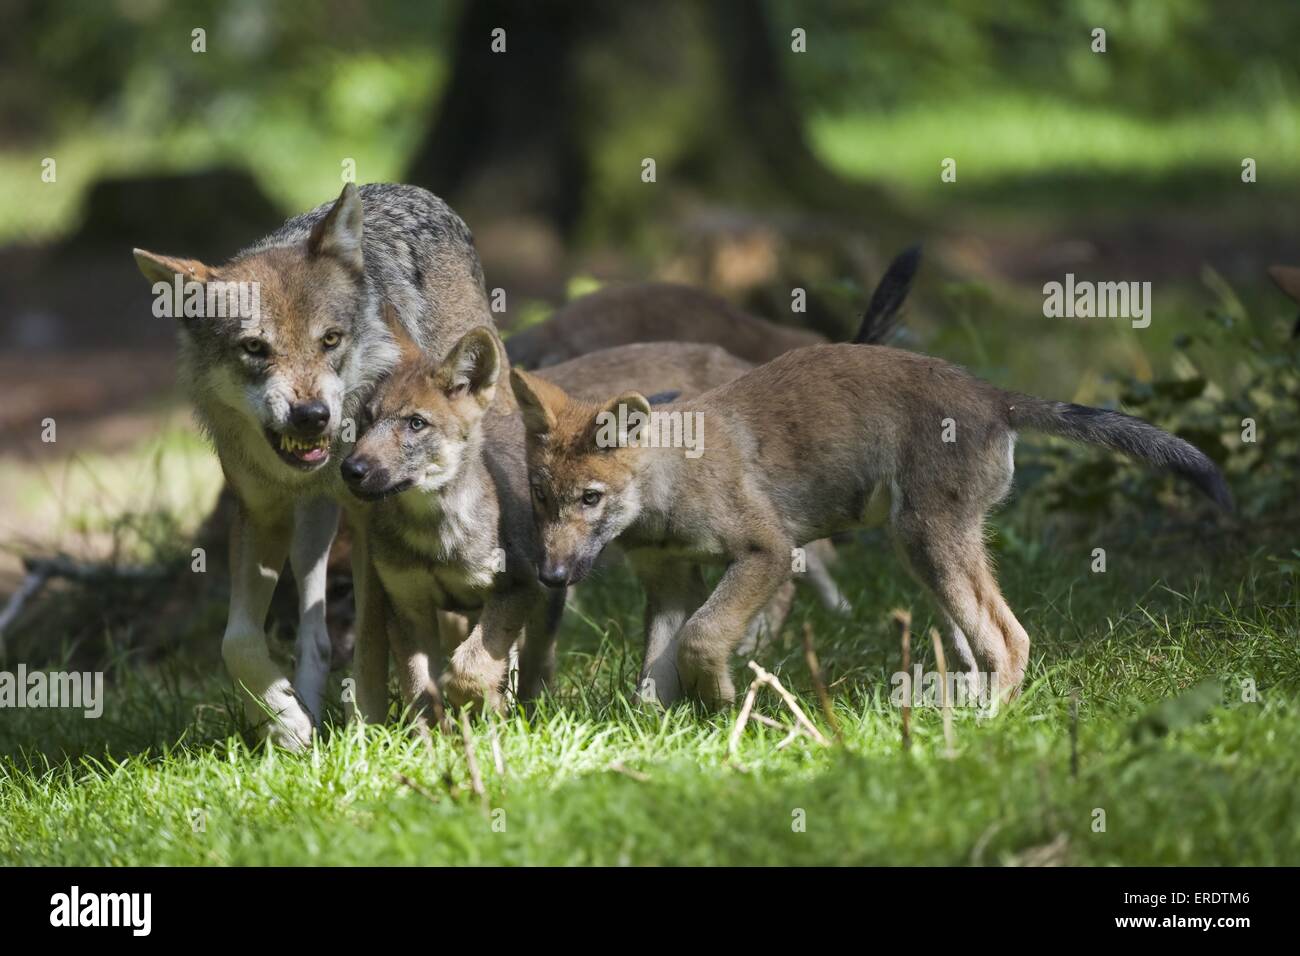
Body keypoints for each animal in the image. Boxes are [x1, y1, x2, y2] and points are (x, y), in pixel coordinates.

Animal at [133, 183, 492, 747]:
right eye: (254, 348)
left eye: (330, 340)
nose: (311, 416)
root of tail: (412, 191)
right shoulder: (260, 515)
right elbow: (237, 641)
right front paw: (283, 721)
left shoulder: (370, 524)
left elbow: (368, 644)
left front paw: (366, 733)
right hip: (310, 531)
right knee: (315, 635)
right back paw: (310, 712)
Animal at [510, 344, 1232, 708]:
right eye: (541, 499)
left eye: (590, 499)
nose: (550, 576)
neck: (665, 488)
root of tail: (997, 397)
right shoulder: (669, 585)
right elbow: (653, 677)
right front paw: (668, 736)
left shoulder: (768, 551)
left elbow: (703, 638)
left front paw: (720, 703)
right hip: (923, 556)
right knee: (976, 647)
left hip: (929, 543)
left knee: (1011, 640)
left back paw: (987, 733)